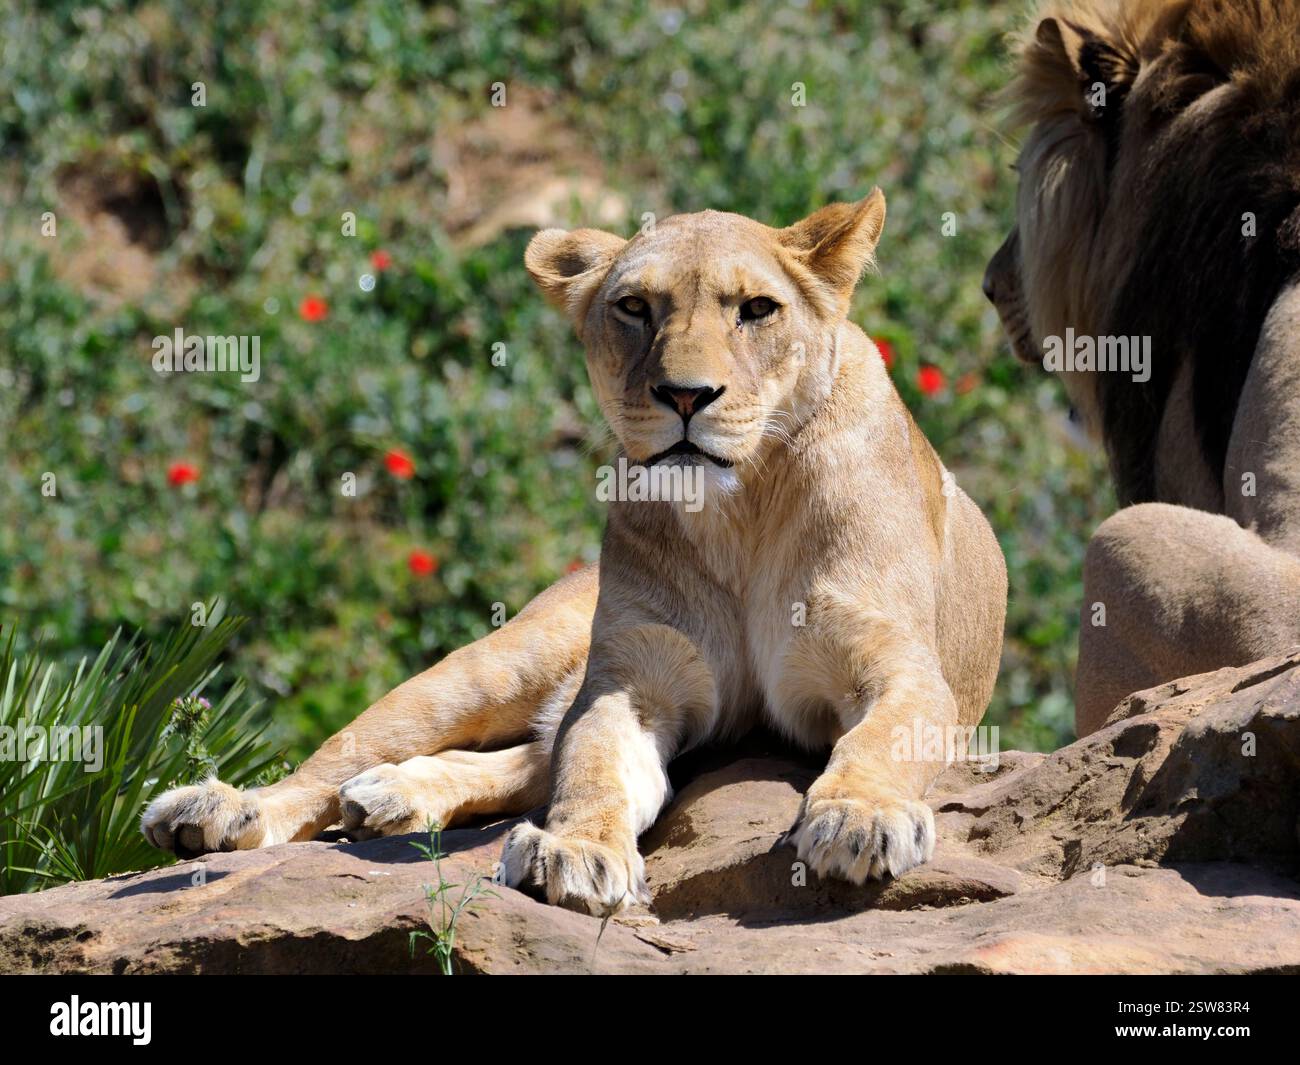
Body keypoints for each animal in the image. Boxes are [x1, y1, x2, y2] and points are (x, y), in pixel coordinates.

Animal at [143, 191, 1007, 915]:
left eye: (757, 309)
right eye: (635, 307)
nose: (685, 395)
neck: (740, 511)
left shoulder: (899, 668)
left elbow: (878, 738)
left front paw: (860, 817)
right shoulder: (633, 678)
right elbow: (591, 766)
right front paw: (578, 851)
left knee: (529, 756)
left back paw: (389, 795)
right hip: (502, 661)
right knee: (353, 755)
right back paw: (221, 809)